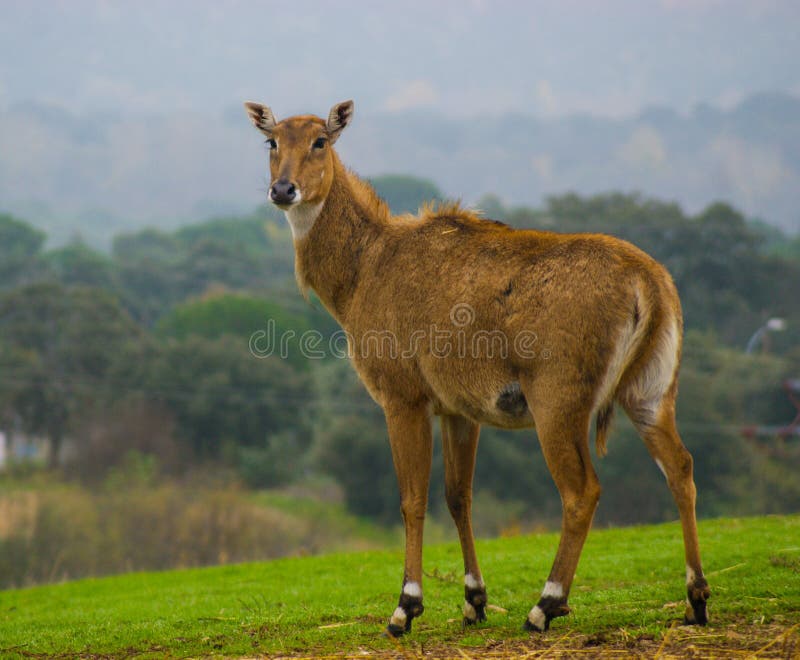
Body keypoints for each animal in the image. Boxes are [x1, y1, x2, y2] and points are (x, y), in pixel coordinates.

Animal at [243, 100, 711, 636]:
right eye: (271, 140)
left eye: (321, 140)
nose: (283, 189)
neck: (361, 274)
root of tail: (649, 283)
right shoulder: (458, 409)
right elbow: (458, 496)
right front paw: (473, 601)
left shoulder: (403, 395)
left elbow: (412, 497)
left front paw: (405, 607)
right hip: (651, 391)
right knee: (680, 466)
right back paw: (696, 598)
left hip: (558, 399)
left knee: (582, 490)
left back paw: (544, 605)